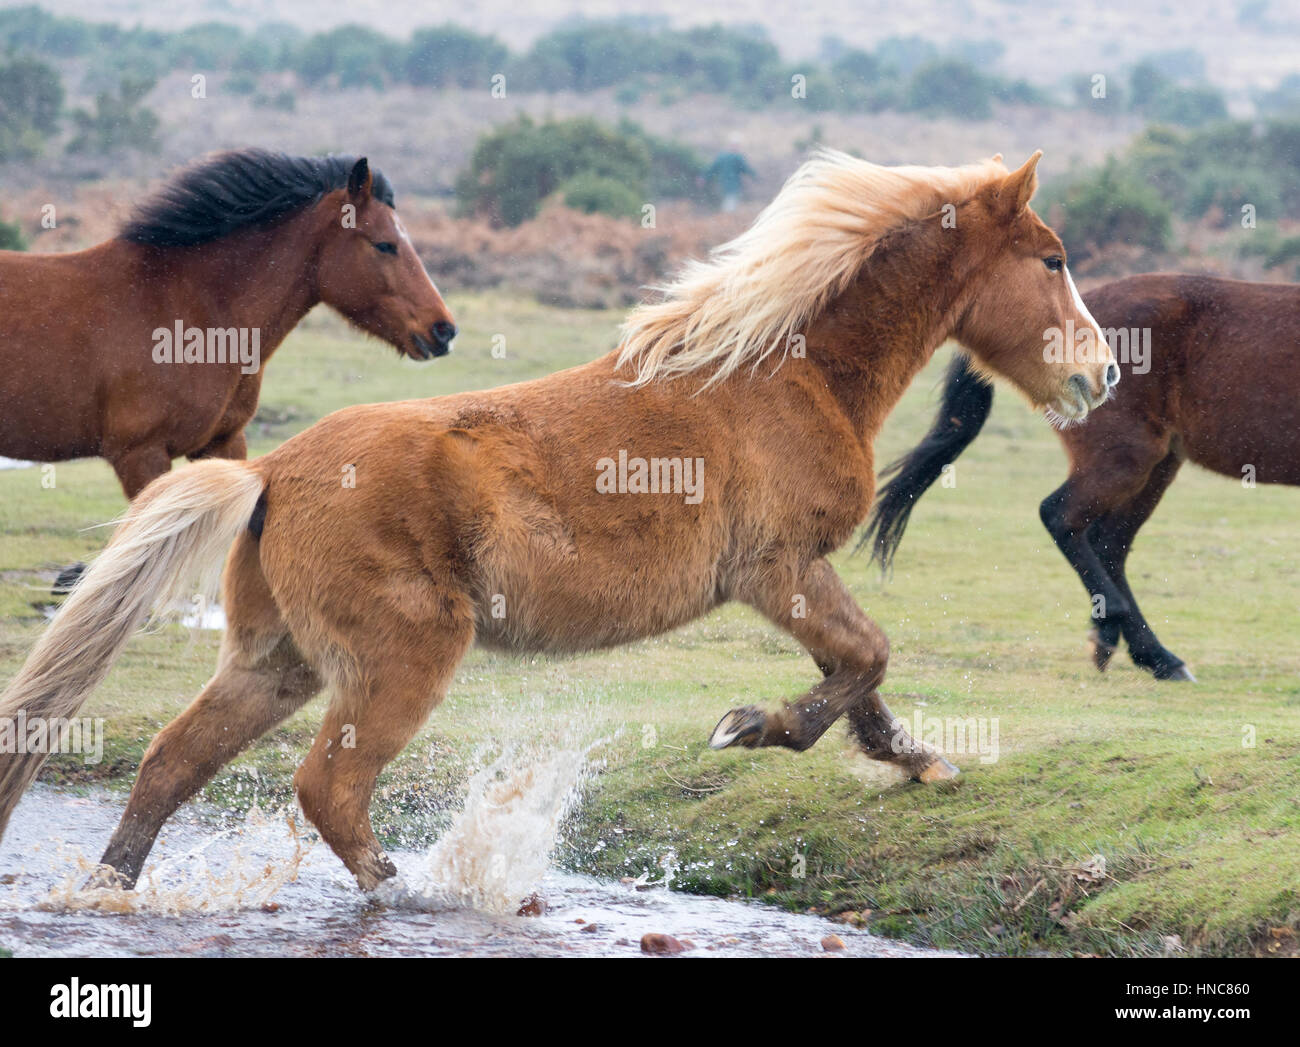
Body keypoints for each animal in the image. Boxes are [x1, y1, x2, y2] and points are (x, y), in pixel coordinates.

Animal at [865, 272, 1300, 682]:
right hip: (1126, 458)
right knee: (1062, 516)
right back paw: (1124, 636)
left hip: (1155, 466)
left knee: (1108, 543)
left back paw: (1149, 654)